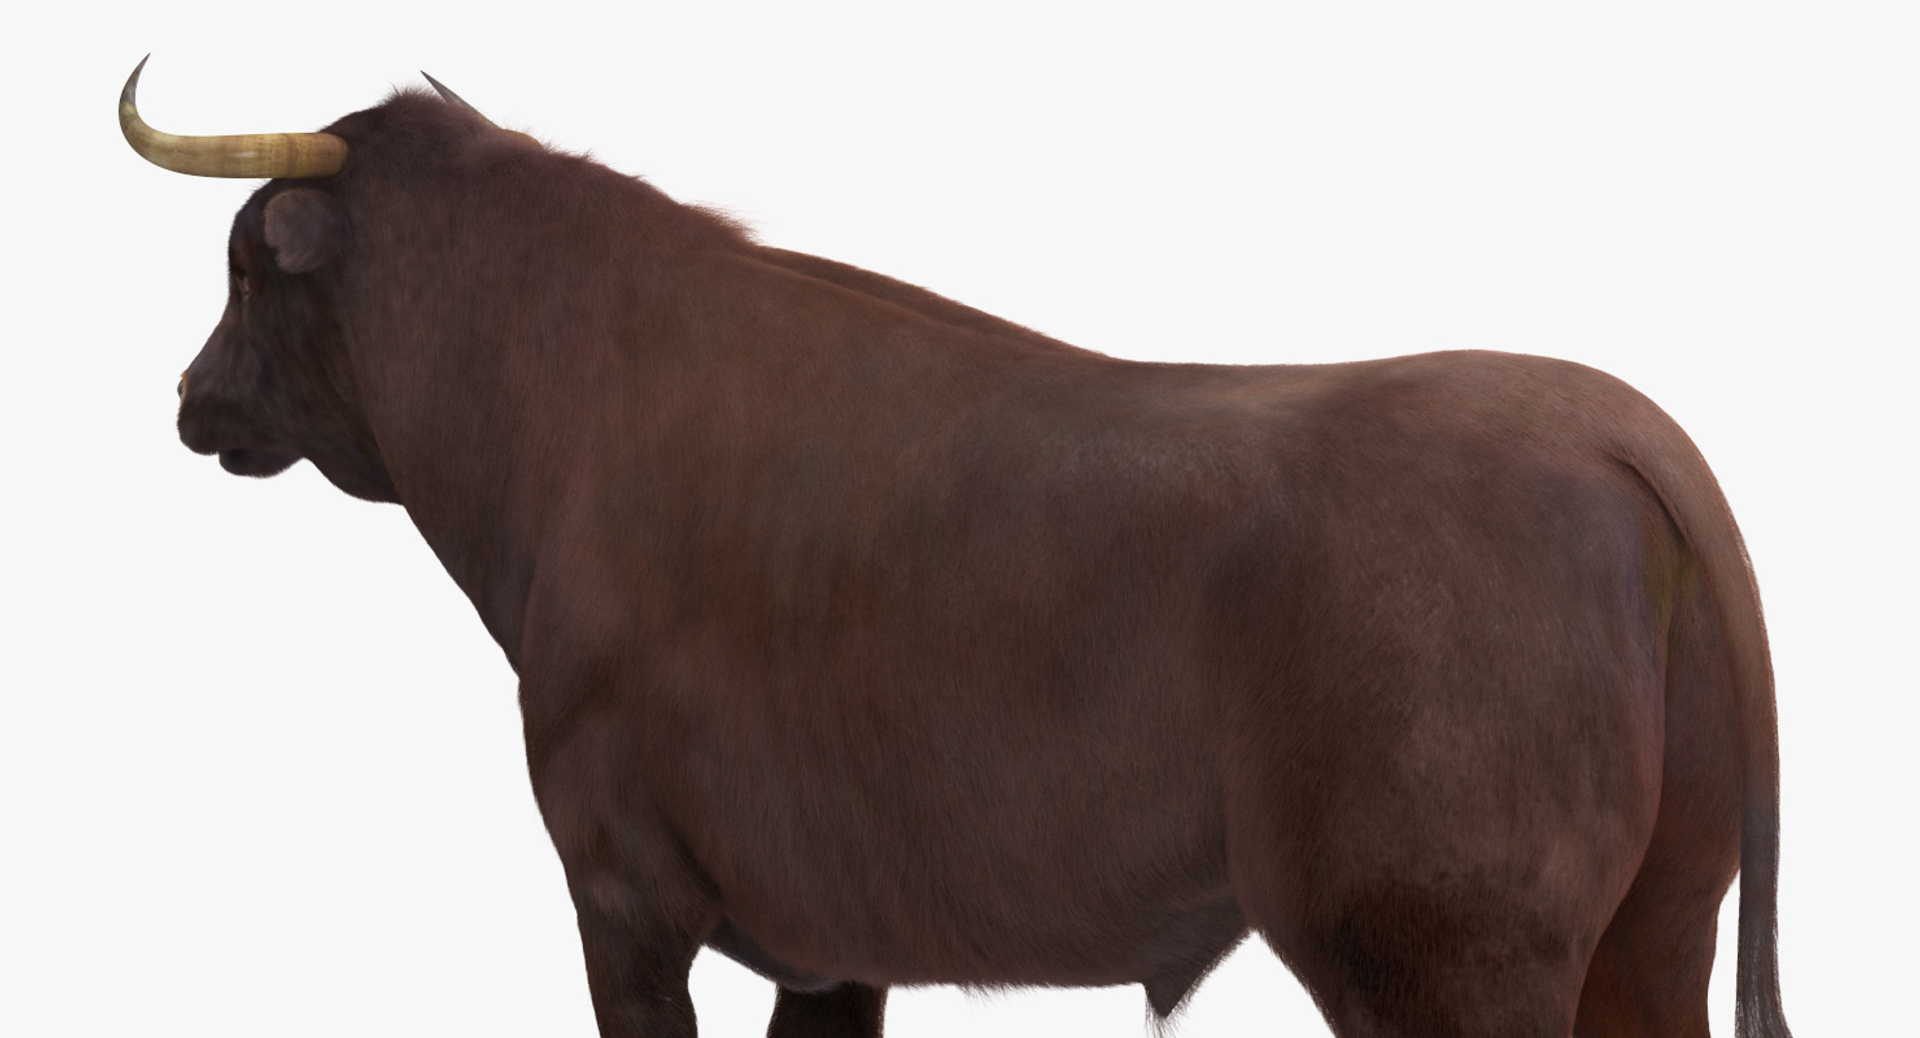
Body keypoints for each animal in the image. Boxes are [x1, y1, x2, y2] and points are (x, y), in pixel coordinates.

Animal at [122, 57, 1793, 1038]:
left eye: (243, 267)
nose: (191, 401)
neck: (563, 410)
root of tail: (1608, 420)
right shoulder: (828, 933)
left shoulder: (623, 891)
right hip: (1656, 933)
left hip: (1449, 955)